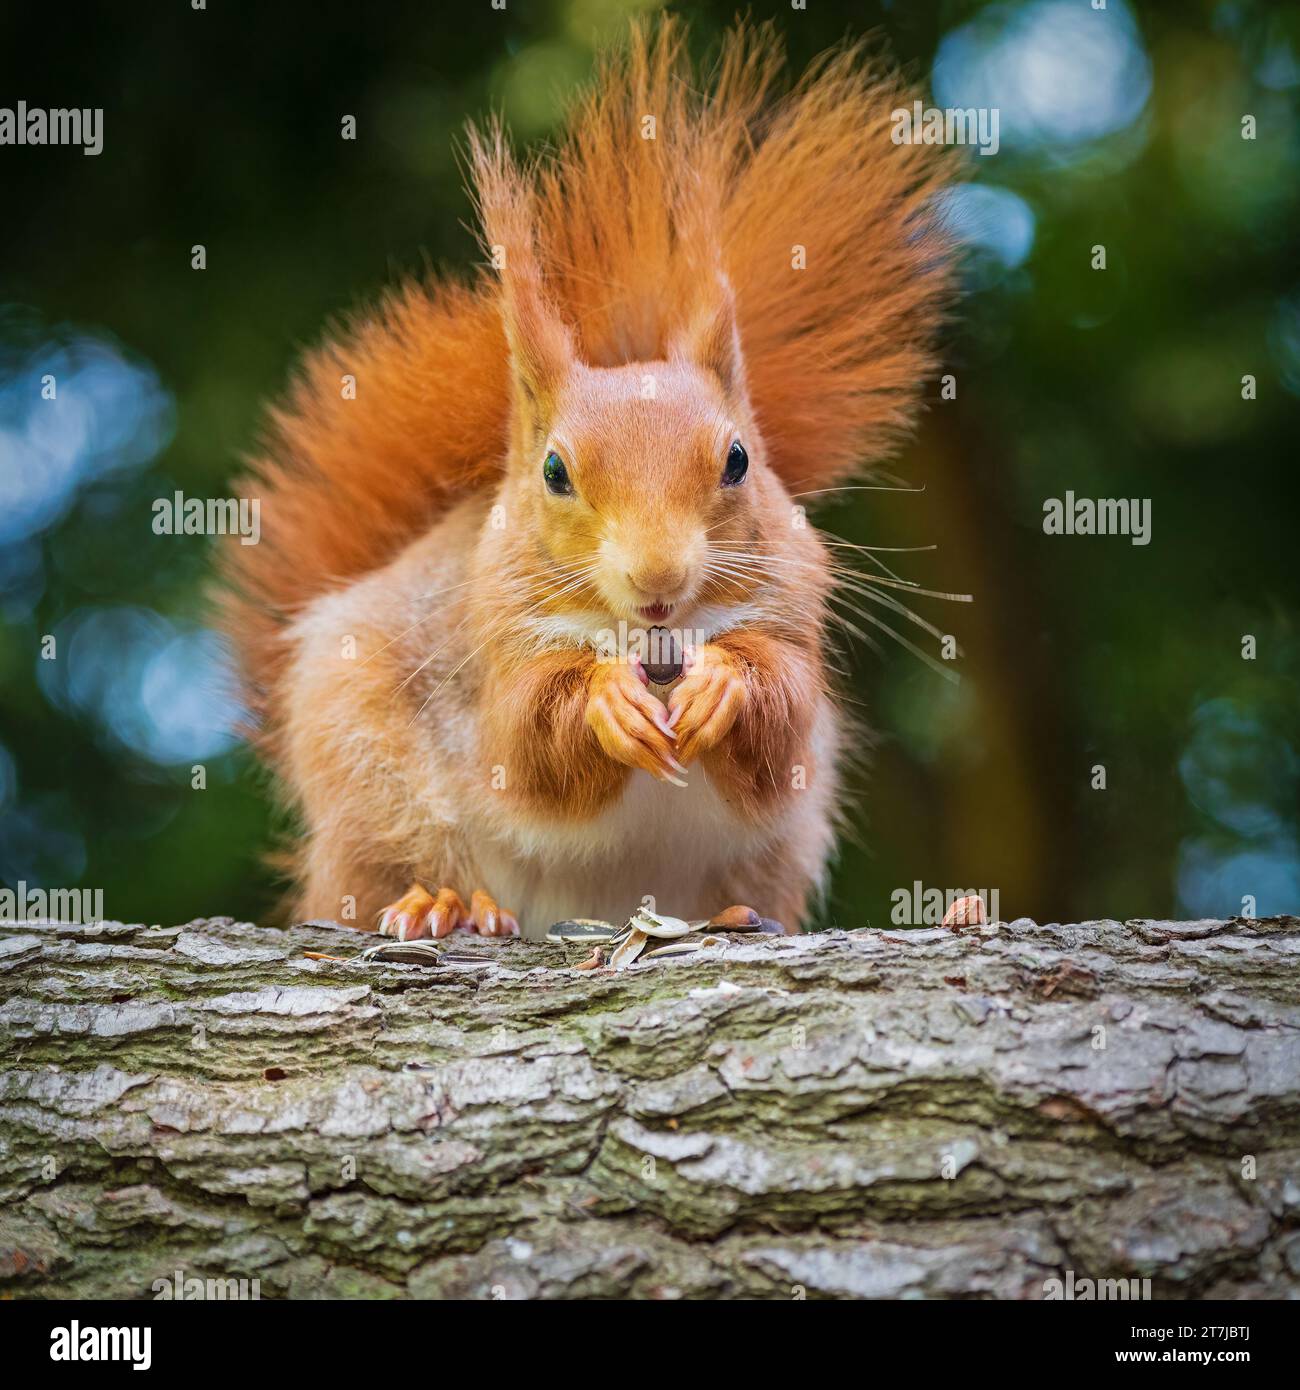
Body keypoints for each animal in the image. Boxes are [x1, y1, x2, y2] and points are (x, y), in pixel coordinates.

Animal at [220, 19, 953, 941]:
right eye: (555, 471)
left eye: (739, 459)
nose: (659, 577)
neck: (652, 643)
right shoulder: (489, 639)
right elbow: (527, 733)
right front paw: (606, 702)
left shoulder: (789, 612)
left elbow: (781, 709)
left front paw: (723, 681)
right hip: (364, 779)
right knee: (389, 869)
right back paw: (439, 904)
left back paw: (739, 914)